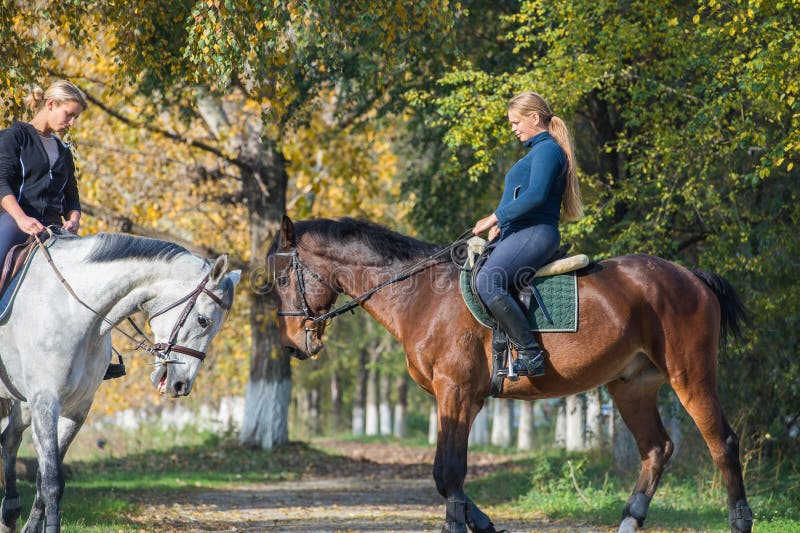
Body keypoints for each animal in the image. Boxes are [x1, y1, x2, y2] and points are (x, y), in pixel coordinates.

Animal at [0, 231, 241, 533]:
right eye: (202, 320)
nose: (180, 386)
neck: (71, 309)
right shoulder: (45, 401)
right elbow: (52, 481)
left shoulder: (75, 409)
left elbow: (45, 479)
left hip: (23, 404)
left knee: (9, 438)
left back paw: (9, 514)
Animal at [267, 215, 753, 533]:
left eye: (282, 278)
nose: (293, 346)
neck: (422, 295)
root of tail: (692, 277)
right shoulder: (457, 399)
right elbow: (446, 475)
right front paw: (478, 522)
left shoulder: (456, 392)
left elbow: (449, 474)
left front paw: (468, 524)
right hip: (632, 385)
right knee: (656, 449)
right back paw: (629, 521)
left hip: (690, 376)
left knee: (723, 444)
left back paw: (739, 520)